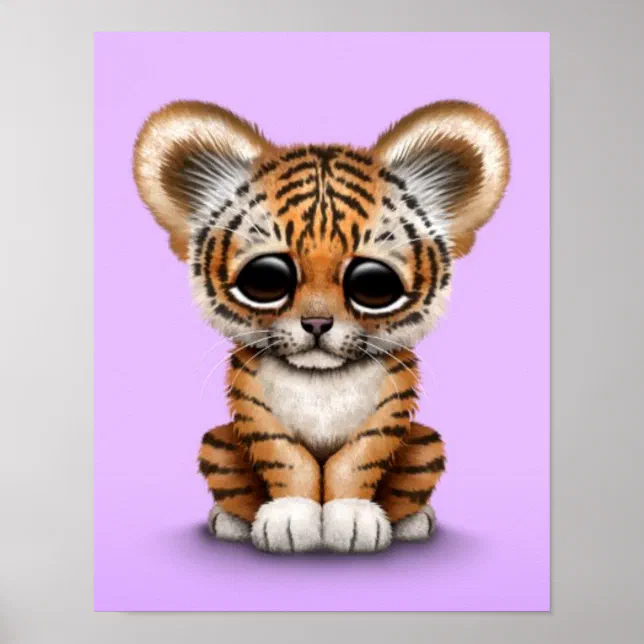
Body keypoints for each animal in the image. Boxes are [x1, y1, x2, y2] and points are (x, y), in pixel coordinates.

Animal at [133, 99, 509, 553]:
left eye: (373, 284)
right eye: (266, 278)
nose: (315, 323)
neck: (321, 382)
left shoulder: (388, 412)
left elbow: (355, 462)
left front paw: (353, 520)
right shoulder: (257, 412)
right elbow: (289, 462)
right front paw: (290, 518)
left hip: (426, 443)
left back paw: (415, 522)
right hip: (216, 444)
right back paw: (230, 522)